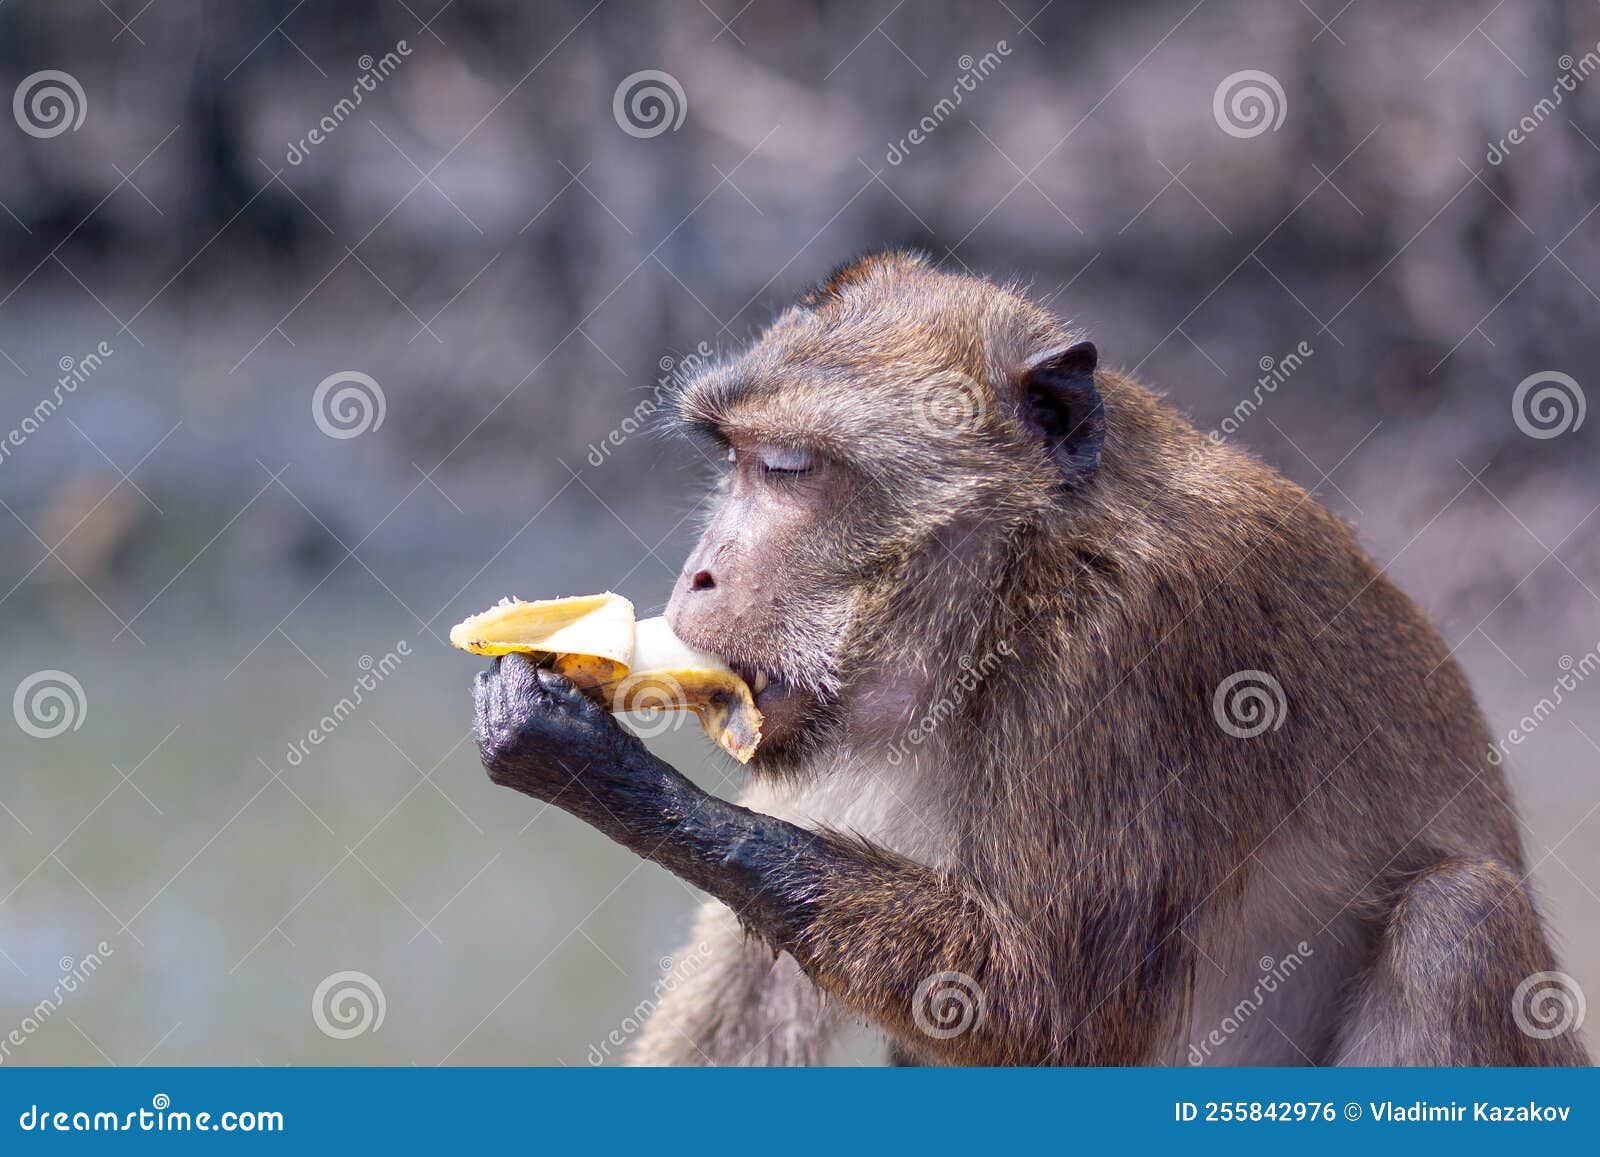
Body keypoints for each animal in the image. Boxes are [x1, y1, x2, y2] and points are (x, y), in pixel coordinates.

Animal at [472, 250, 1589, 1066]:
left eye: (787, 468)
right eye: (734, 462)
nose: (698, 574)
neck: (1015, 583)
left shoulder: (1140, 639)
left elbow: (1042, 1005)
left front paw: (596, 764)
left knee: (1458, 918)